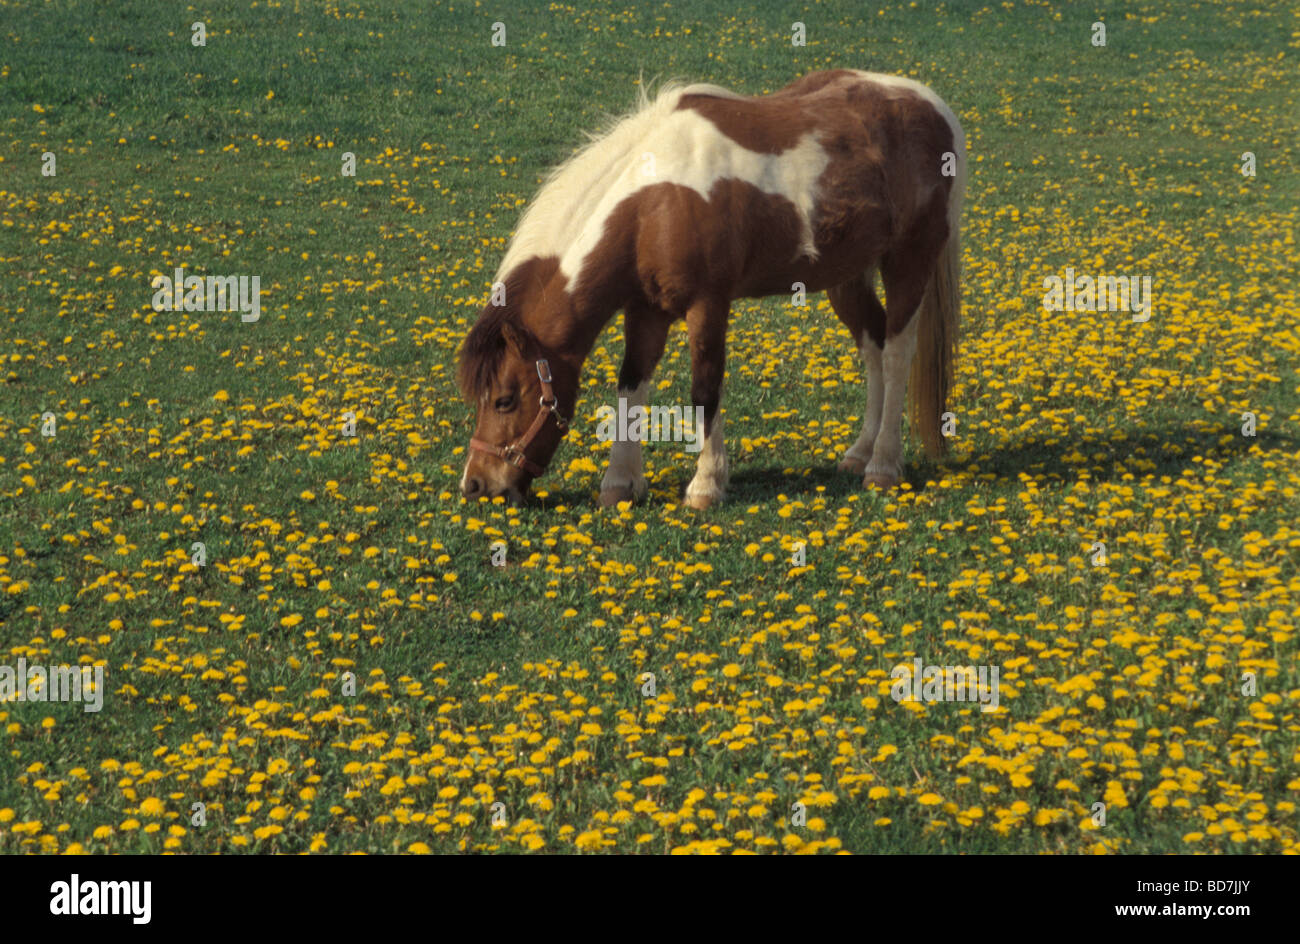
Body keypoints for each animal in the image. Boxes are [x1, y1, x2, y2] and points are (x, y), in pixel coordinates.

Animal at [457, 69, 965, 509]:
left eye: (505, 400)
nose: (476, 485)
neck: (654, 204)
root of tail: (935, 107)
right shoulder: (645, 310)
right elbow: (630, 386)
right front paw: (620, 483)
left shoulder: (708, 305)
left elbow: (705, 389)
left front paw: (706, 484)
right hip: (847, 276)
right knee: (873, 346)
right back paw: (860, 453)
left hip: (909, 261)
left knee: (897, 354)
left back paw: (883, 465)